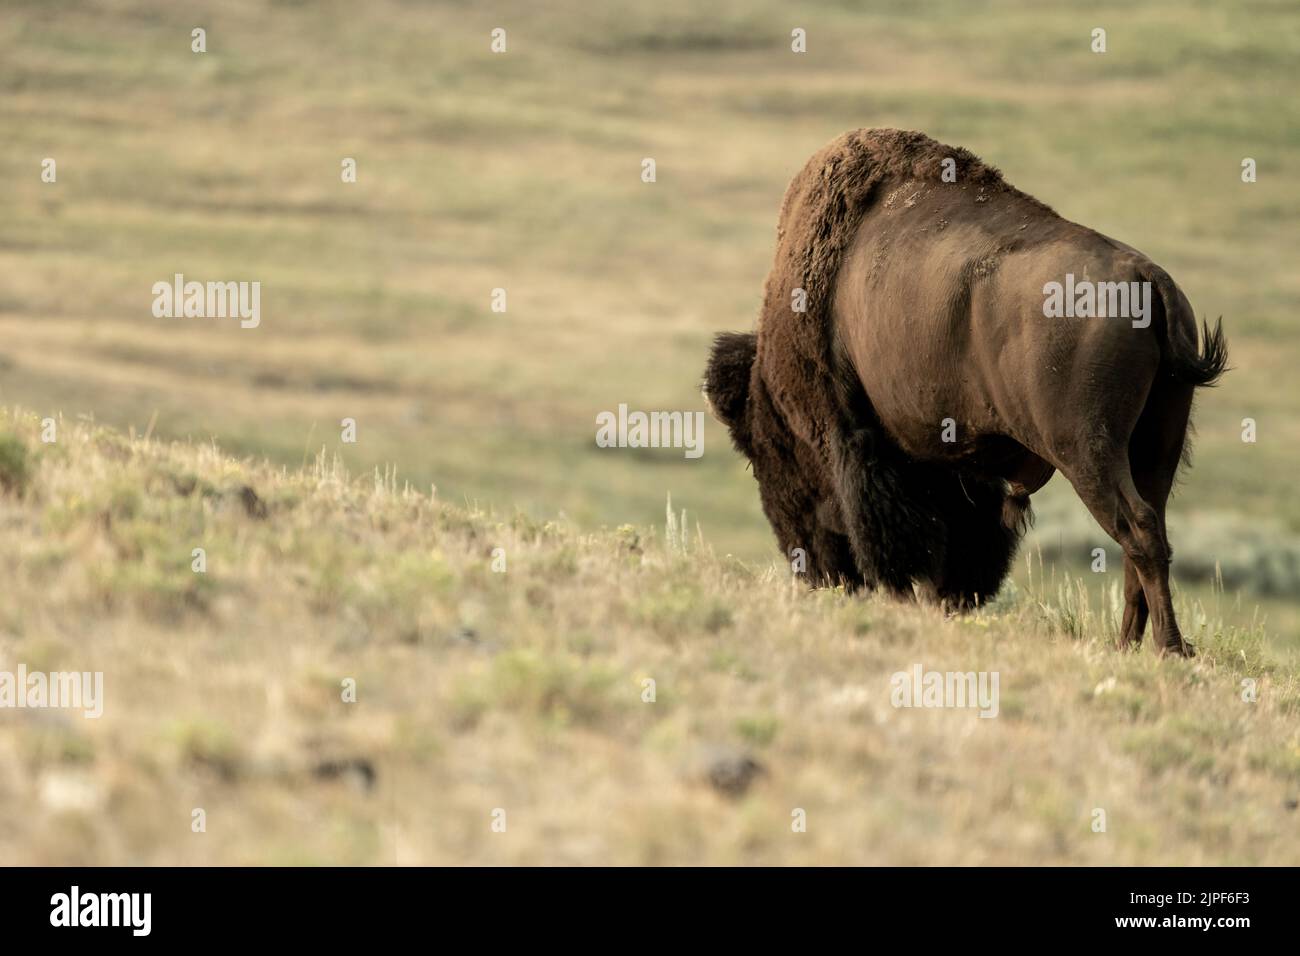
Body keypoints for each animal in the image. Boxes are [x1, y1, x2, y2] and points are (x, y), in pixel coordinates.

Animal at [704, 129, 1226, 656]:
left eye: (764, 451)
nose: (810, 570)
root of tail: (1145, 278)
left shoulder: (862, 442)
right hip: (1155, 448)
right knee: (1151, 529)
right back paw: (1128, 646)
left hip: (1086, 450)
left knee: (1136, 529)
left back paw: (1168, 648)